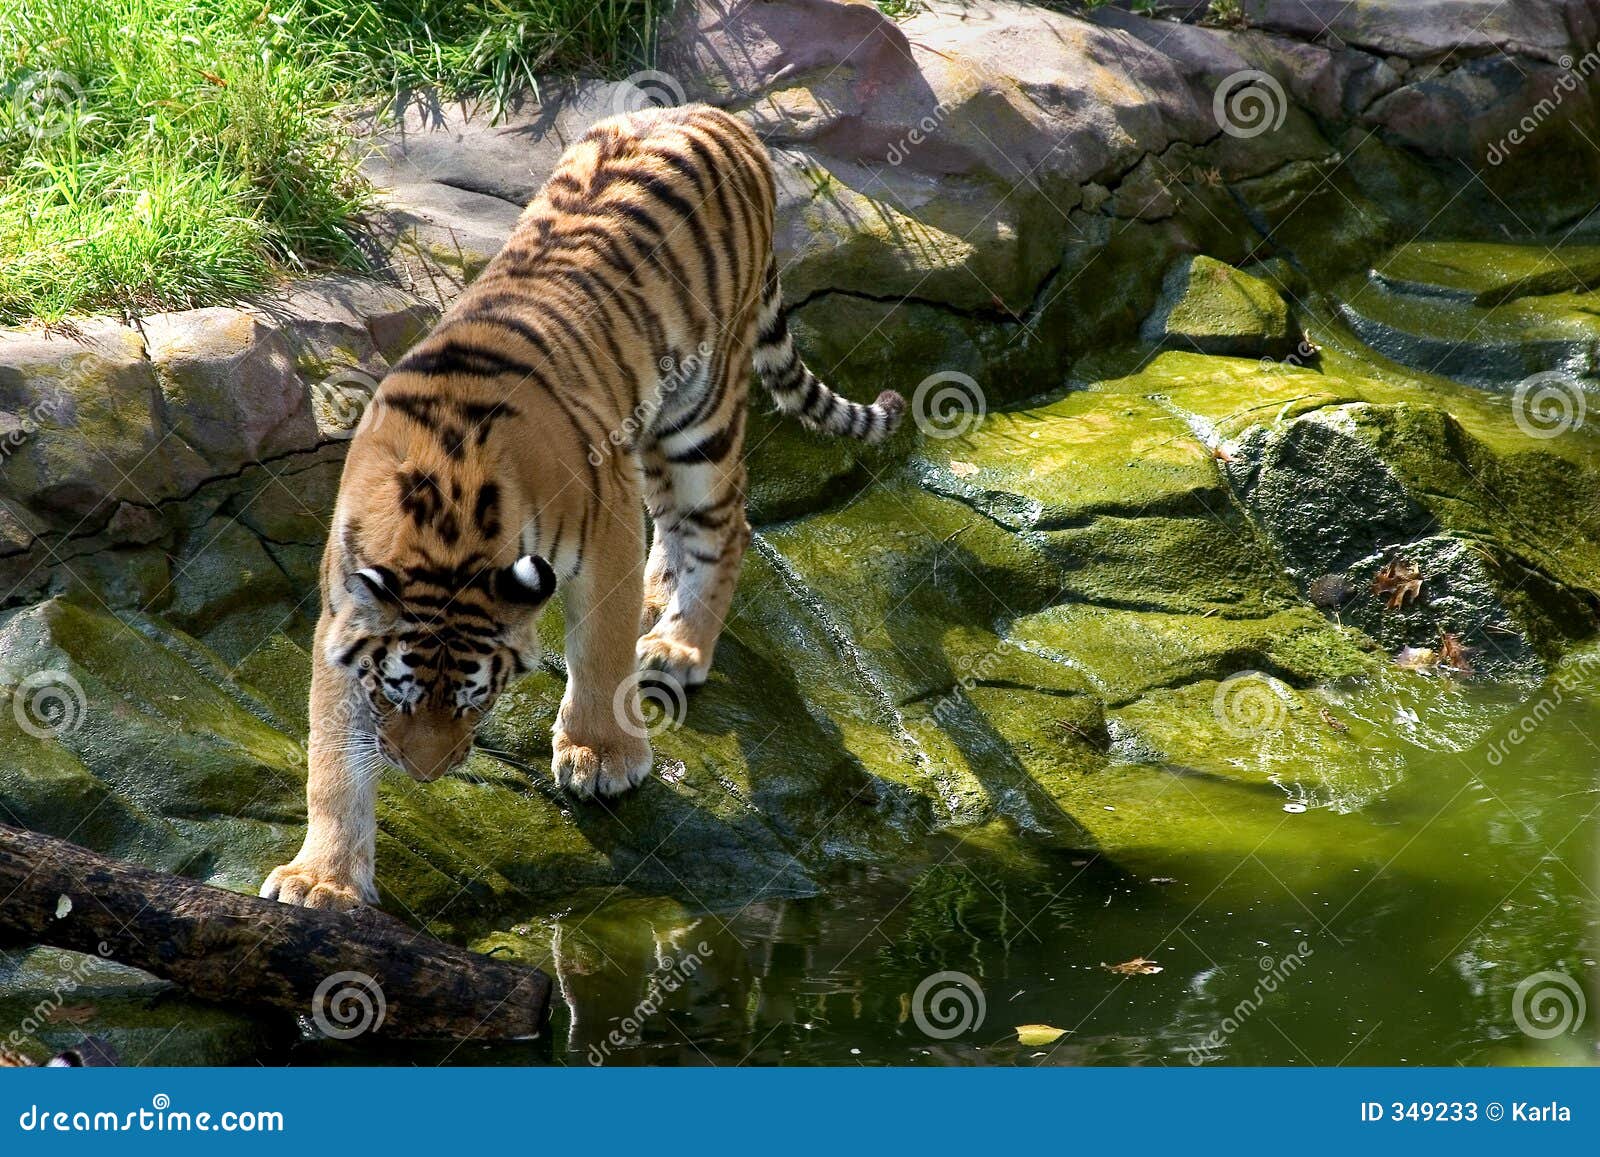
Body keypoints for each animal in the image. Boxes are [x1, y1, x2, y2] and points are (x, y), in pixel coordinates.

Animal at [261, 103, 905, 910]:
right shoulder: (342, 609)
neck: (445, 515)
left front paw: (601, 754)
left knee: (727, 525)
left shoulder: (603, 528)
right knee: (677, 522)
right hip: (648, 430)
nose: (426, 773)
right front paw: (322, 878)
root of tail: (711, 113)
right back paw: (660, 599)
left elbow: (600, 648)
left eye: (475, 699)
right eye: (398, 696)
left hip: (701, 414)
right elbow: (332, 753)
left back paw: (676, 646)